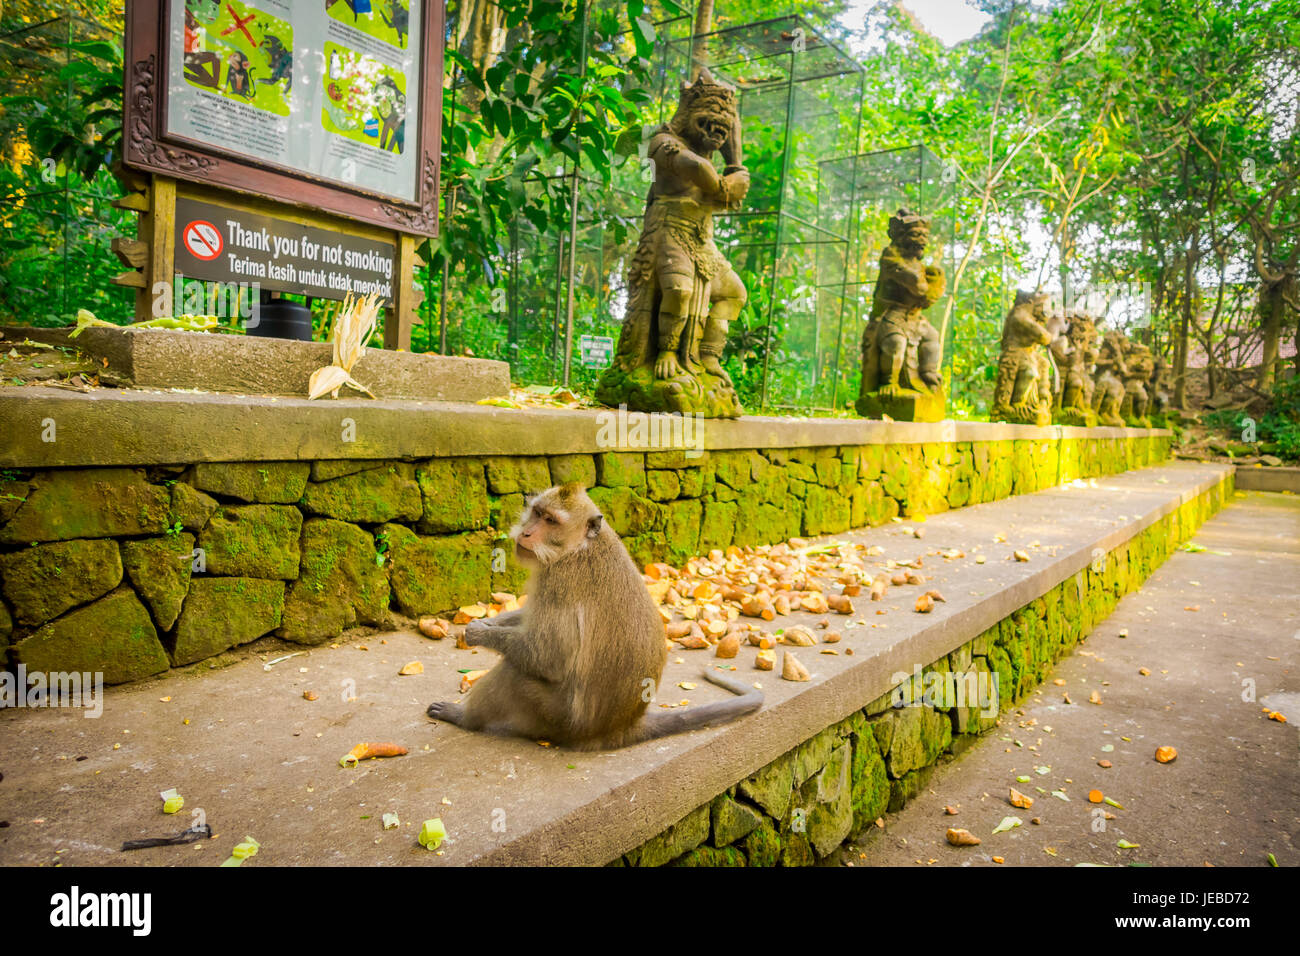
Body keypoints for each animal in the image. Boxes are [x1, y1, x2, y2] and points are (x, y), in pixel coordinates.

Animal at [426, 482, 763, 750]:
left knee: (515, 673)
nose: (526, 532)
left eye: (550, 521)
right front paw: (485, 623)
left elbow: (549, 657)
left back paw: (464, 718)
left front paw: (481, 634)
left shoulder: (559, 579)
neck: (580, 545)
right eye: (537, 513)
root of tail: (621, 728)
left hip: (554, 719)